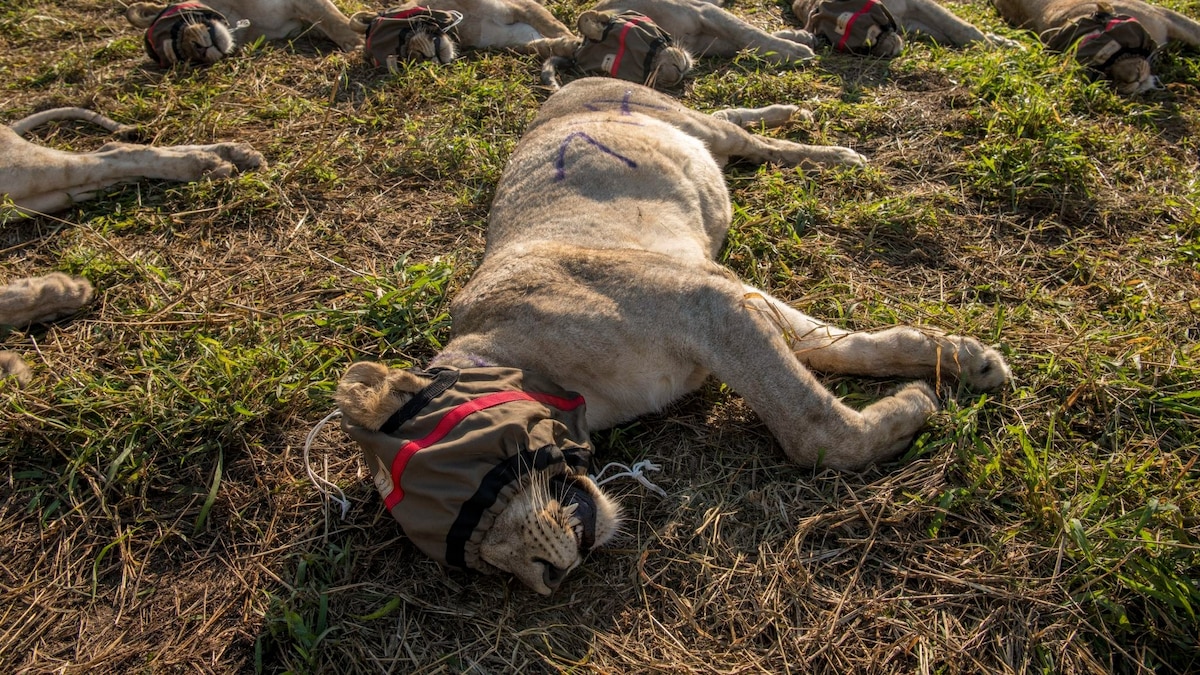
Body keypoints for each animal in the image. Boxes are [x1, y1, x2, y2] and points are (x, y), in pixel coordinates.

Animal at [333, 77, 1010, 595]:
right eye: (467, 556)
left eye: (462, 486)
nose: (548, 577)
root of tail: (568, 84)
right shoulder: (728, 296)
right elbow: (835, 347)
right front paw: (964, 360)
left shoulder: (703, 301)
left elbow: (810, 428)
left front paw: (921, 399)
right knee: (731, 124)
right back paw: (795, 115)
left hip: (677, 117)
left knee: (744, 134)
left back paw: (833, 151)